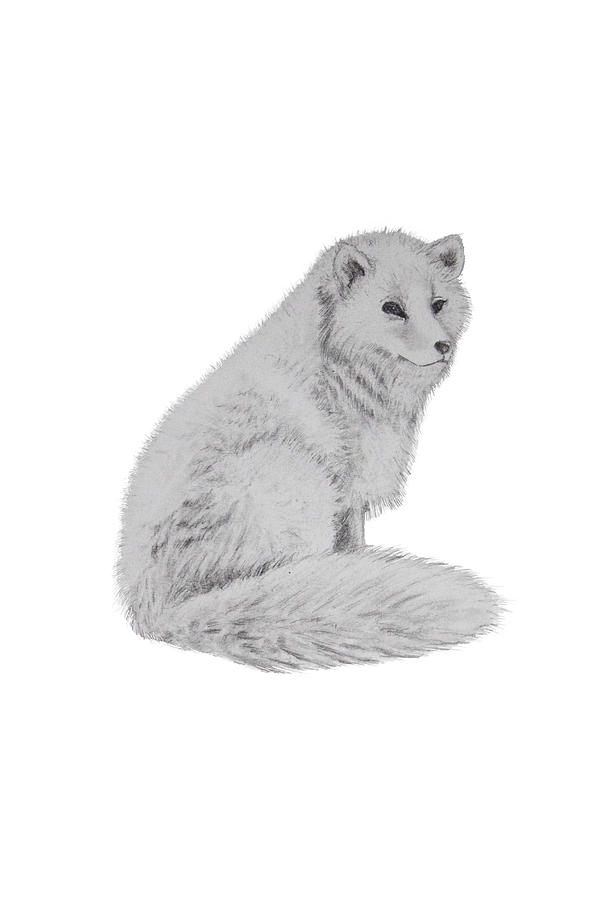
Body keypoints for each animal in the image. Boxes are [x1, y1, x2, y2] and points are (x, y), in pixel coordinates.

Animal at [117, 228, 500, 671]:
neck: (338, 366)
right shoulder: (348, 484)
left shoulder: (351, 495)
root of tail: (157, 609)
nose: (442, 346)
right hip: (295, 483)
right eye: (392, 308)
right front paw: (359, 567)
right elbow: (354, 544)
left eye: (438, 304)